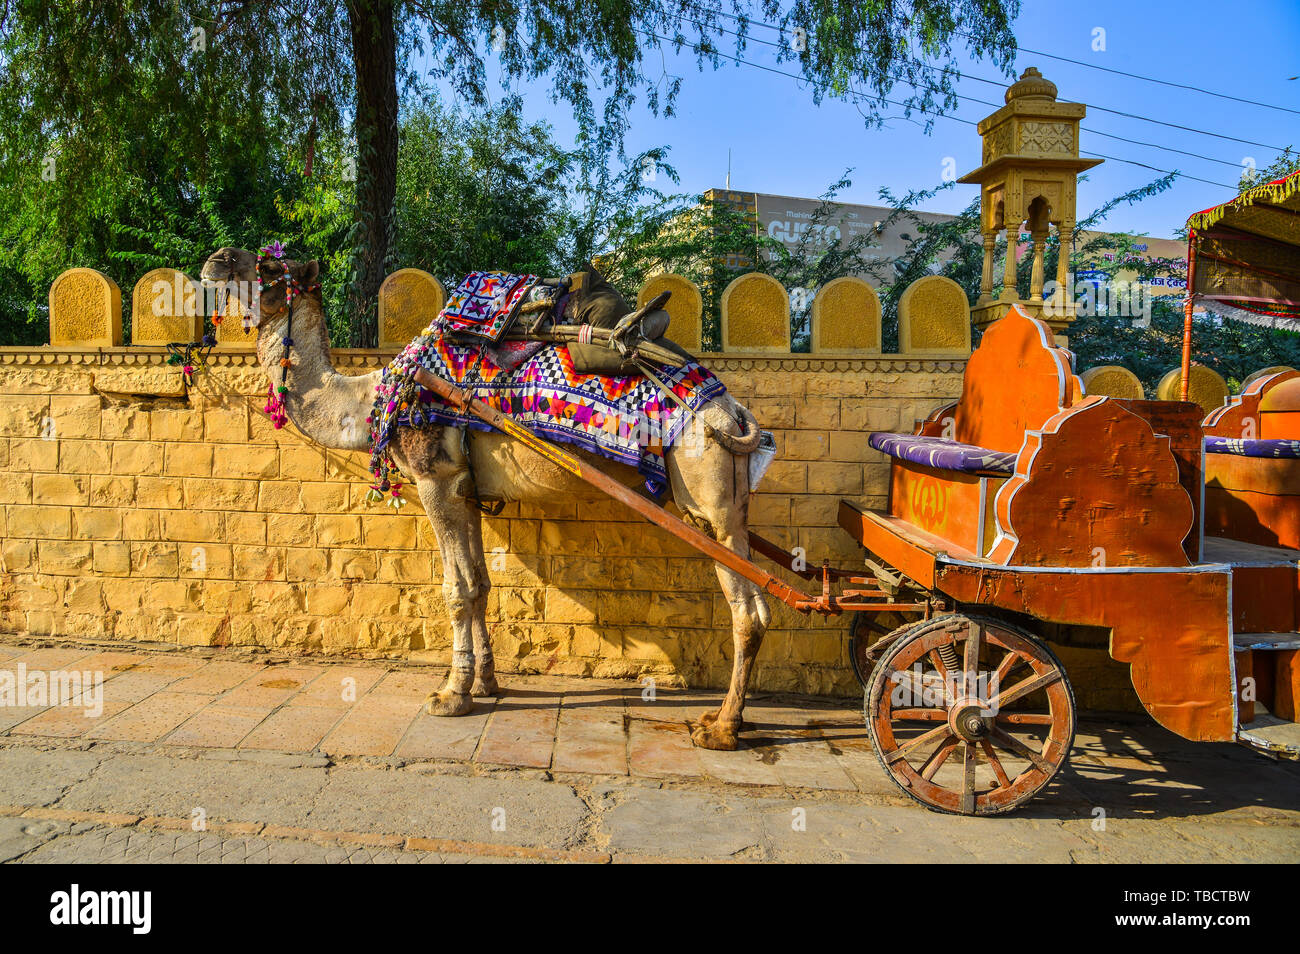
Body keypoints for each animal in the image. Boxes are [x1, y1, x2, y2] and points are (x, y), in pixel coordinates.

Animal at [200, 247, 771, 750]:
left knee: (746, 608)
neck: (372, 399)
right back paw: (727, 720)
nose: (217, 259)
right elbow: (480, 584)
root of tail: (735, 412)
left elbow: (456, 590)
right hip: (729, 501)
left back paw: (721, 729)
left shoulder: (435, 477)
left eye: (270, 266)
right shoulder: (467, 489)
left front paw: (451, 695)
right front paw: (487, 684)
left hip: (704, 488)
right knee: (758, 598)